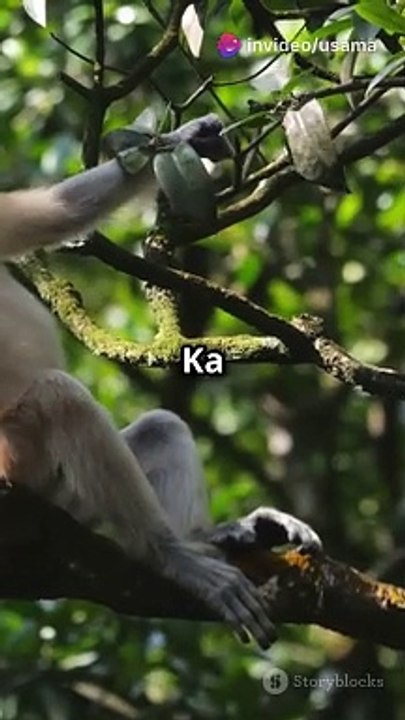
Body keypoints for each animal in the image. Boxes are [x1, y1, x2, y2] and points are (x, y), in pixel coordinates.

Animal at [0, 115, 321, 648]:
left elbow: (62, 211)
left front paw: (189, 138)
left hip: (64, 496)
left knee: (160, 427)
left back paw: (218, 535)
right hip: (18, 462)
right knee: (61, 399)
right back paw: (174, 557)